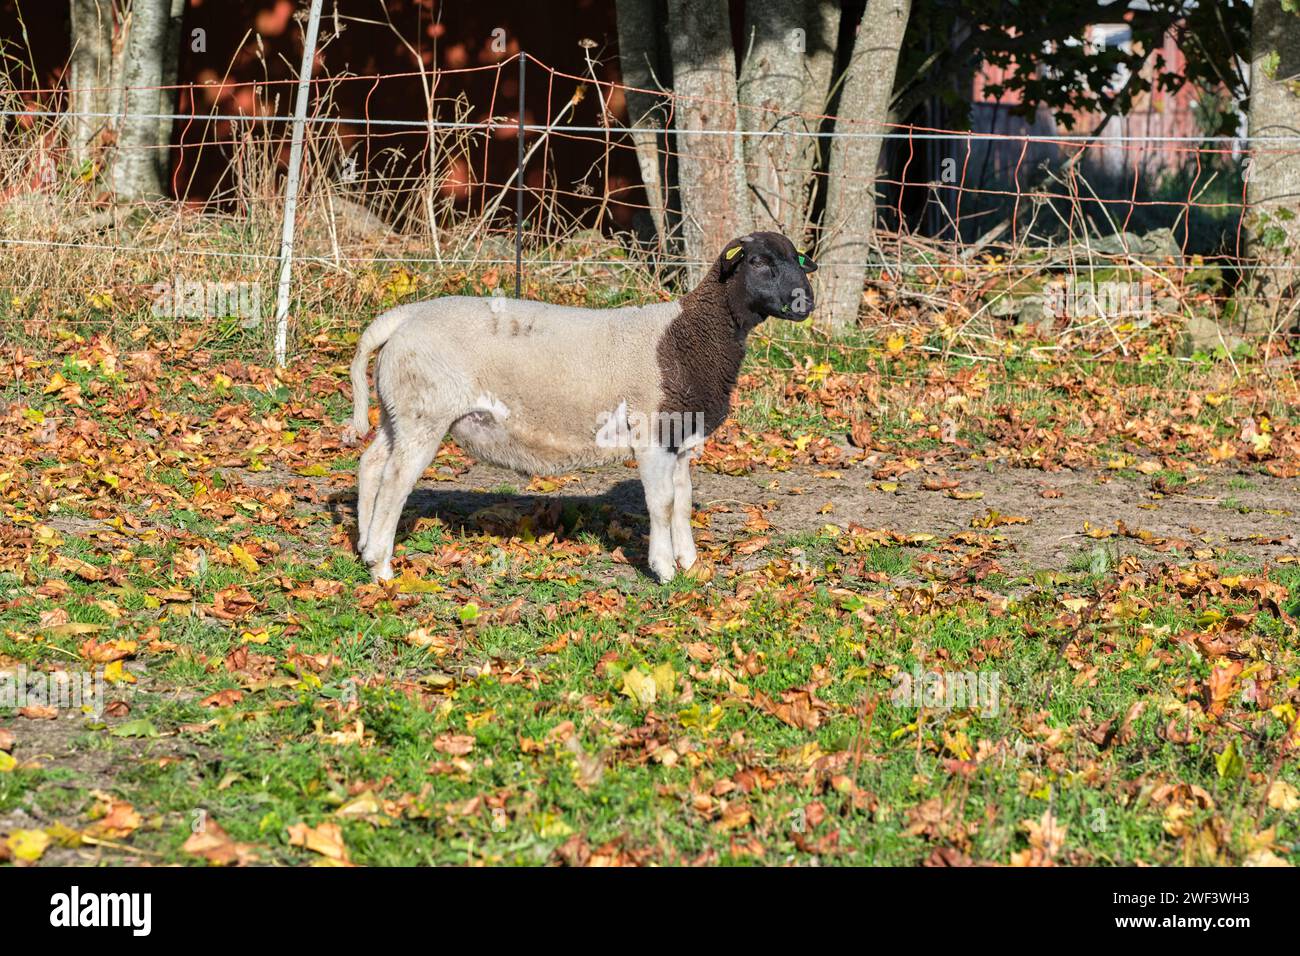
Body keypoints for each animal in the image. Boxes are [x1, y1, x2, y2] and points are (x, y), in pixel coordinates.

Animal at [345, 230, 818, 583]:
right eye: (759, 262)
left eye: (799, 258)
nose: (805, 301)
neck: (689, 334)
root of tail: (402, 318)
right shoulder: (651, 435)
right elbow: (661, 504)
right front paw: (664, 569)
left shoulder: (681, 437)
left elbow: (682, 501)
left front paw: (689, 562)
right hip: (423, 413)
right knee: (395, 481)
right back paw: (381, 566)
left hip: (398, 411)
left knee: (371, 464)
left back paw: (364, 545)